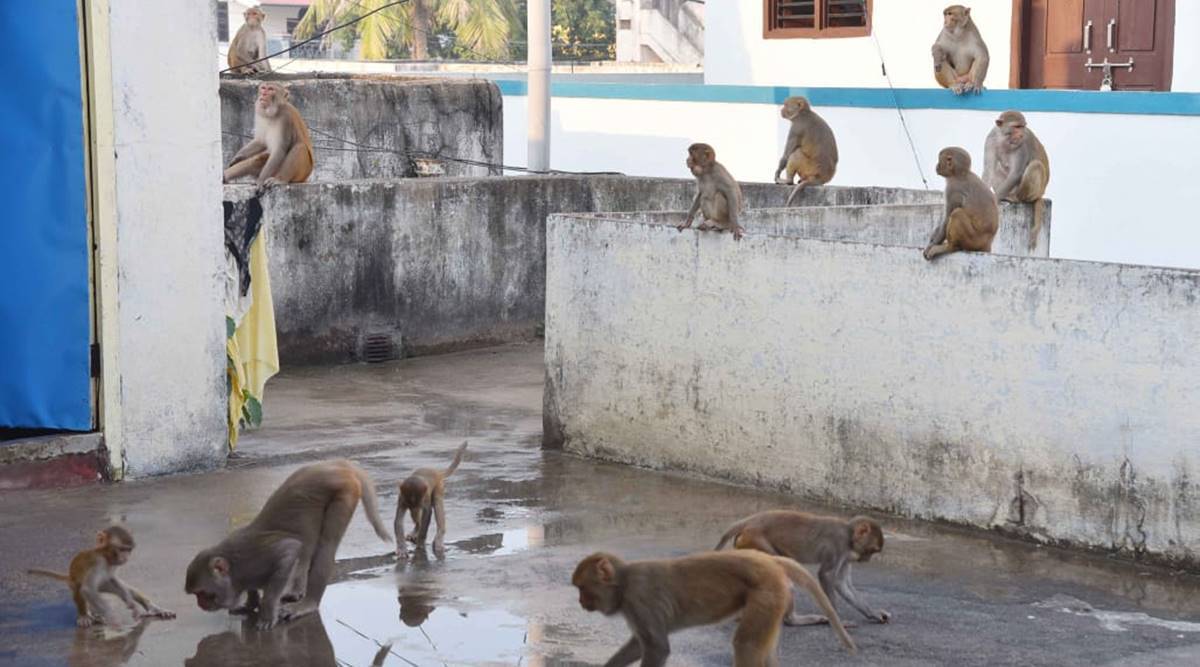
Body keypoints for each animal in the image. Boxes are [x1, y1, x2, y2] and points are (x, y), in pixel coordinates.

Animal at [28, 526, 175, 627]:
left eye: (129, 550)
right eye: (122, 549)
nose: (126, 557)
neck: (105, 557)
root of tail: (69, 575)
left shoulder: (112, 566)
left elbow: (113, 579)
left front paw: (130, 602)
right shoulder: (97, 563)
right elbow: (87, 589)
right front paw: (113, 618)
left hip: (102, 586)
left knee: (122, 587)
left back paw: (154, 609)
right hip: (73, 582)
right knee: (80, 589)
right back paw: (84, 615)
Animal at [184, 460, 392, 630]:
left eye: (202, 594)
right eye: (196, 595)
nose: (200, 604)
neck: (235, 569)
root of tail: (336, 465)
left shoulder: (256, 558)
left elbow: (290, 551)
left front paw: (267, 613)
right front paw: (251, 603)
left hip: (345, 491)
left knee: (326, 545)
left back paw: (308, 603)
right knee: (308, 548)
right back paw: (296, 592)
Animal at [572, 550, 856, 666]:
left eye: (583, 588)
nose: (580, 602)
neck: (625, 582)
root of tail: (769, 561)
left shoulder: (639, 601)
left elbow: (657, 648)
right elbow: (637, 646)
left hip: (767, 592)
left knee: (747, 645)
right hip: (776, 598)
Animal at [715, 510, 889, 627]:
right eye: (871, 550)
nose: (866, 560)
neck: (849, 536)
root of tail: (750, 521)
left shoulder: (846, 556)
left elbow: (841, 584)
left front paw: (873, 614)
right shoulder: (838, 547)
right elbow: (826, 575)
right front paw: (838, 621)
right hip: (756, 541)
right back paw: (793, 620)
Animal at [982, 110, 1050, 251]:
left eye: (1022, 127)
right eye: (1016, 126)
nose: (1021, 134)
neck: (1005, 138)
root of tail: (1042, 193)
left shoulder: (1022, 145)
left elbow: (1015, 174)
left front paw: (993, 201)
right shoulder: (991, 139)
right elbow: (989, 170)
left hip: (1034, 191)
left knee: (1035, 166)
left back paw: (1016, 198)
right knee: (997, 168)